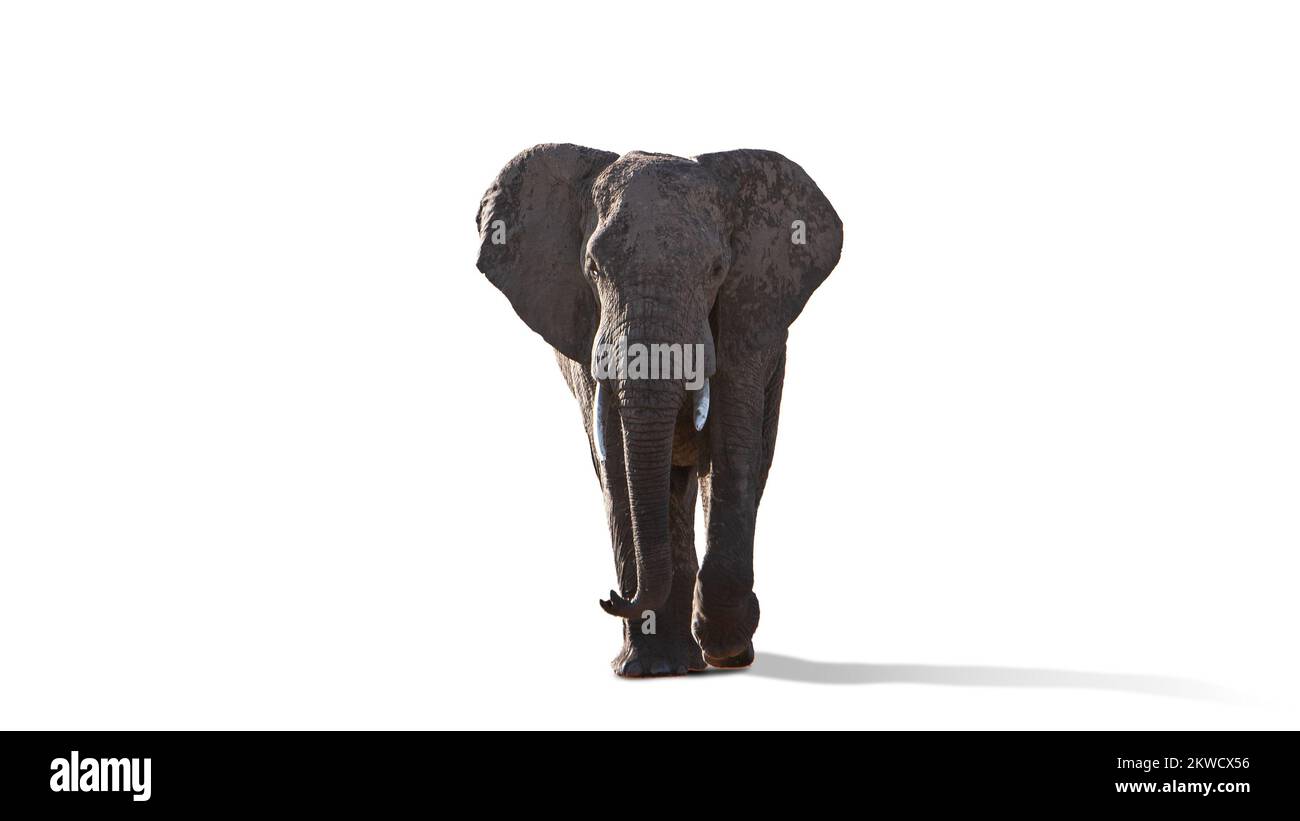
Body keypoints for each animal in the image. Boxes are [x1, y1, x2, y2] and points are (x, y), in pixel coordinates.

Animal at [474, 144, 843, 676]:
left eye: (716, 270)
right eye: (593, 269)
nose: (611, 597)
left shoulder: (749, 316)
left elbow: (734, 448)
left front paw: (721, 641)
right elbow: (617, 466)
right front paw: (647, 668)